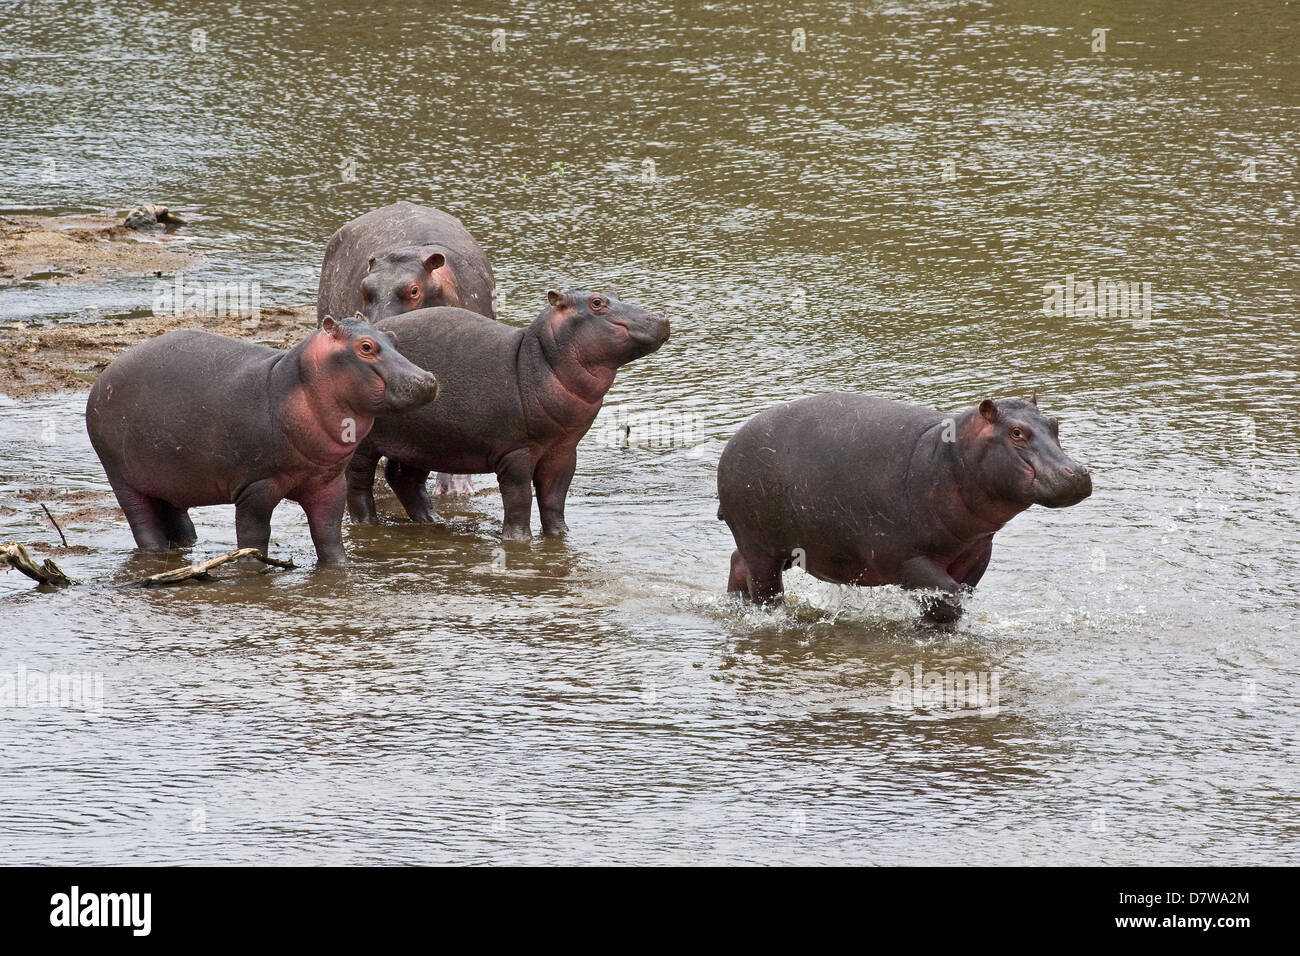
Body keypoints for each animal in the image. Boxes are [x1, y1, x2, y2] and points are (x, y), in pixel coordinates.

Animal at [86, 316, 440, 564]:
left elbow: (328, 533)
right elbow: (254, 535)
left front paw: (339, 569)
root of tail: (103, 377)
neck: (303, 382)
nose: (426, 379)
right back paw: (156, 553)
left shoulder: (329, 483)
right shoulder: (256, 487)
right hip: (121, 478)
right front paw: (253, 569)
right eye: (366, 346)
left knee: (173, 512)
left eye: (392, 338)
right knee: (141, 521)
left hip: (168, 476)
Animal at [346, 289, 671, 541]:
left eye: (614, 294)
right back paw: (368, 524)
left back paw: (434, 521)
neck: (541, 358)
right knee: (359, 483)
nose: (660, 317)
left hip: (425, 440)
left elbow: (555, 498)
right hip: (367, 444)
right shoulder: (516, 453)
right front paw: (518, 540)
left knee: (404, 479)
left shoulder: (563, 450)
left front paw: (561, 535)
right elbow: (519, 498)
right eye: (597, 302)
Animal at [716, 393, 1092, 621]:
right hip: (760, 545)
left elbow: (957, 594)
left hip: (782, 546)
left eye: (1055, 424)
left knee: (737, 564)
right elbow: (948, 595)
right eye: (1016, 432)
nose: (1076, 474)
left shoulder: (976, 552)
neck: (949, 458)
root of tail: (732, 441)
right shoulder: (904, 559)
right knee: (765, 589)